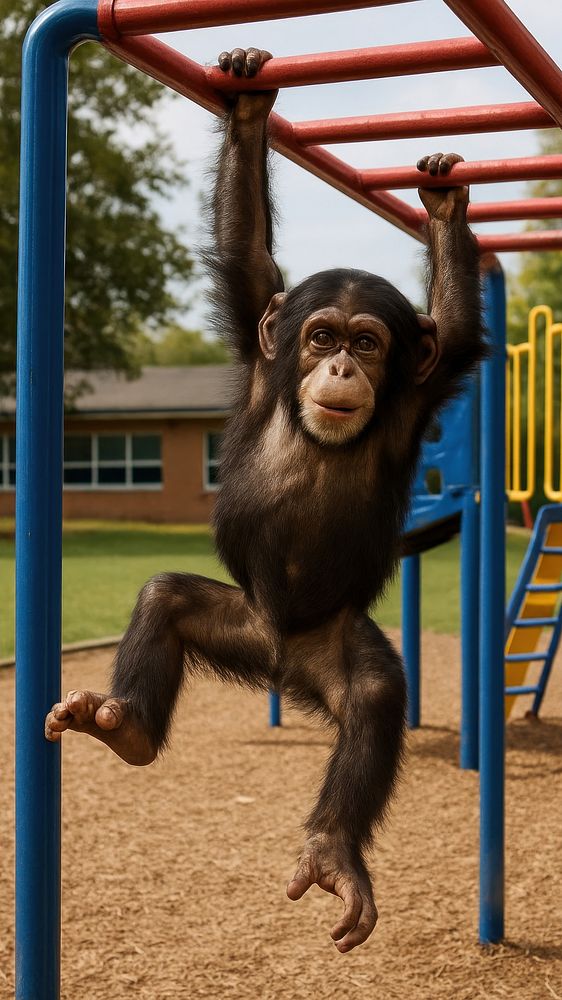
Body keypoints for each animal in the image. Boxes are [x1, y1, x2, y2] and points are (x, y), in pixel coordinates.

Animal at [45, 47, 486, 954]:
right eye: (320, 337)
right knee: (165, 597)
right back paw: (127, 726)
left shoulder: (421, 391)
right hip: (239, 622)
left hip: (335, 645)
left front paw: (444, 204)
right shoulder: (260, 342)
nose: (343, 366)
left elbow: (456, 326)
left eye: (368, 342)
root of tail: (284, 658)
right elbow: (247, 255)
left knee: (374, 697)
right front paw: (249, 106)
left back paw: (333, 851)